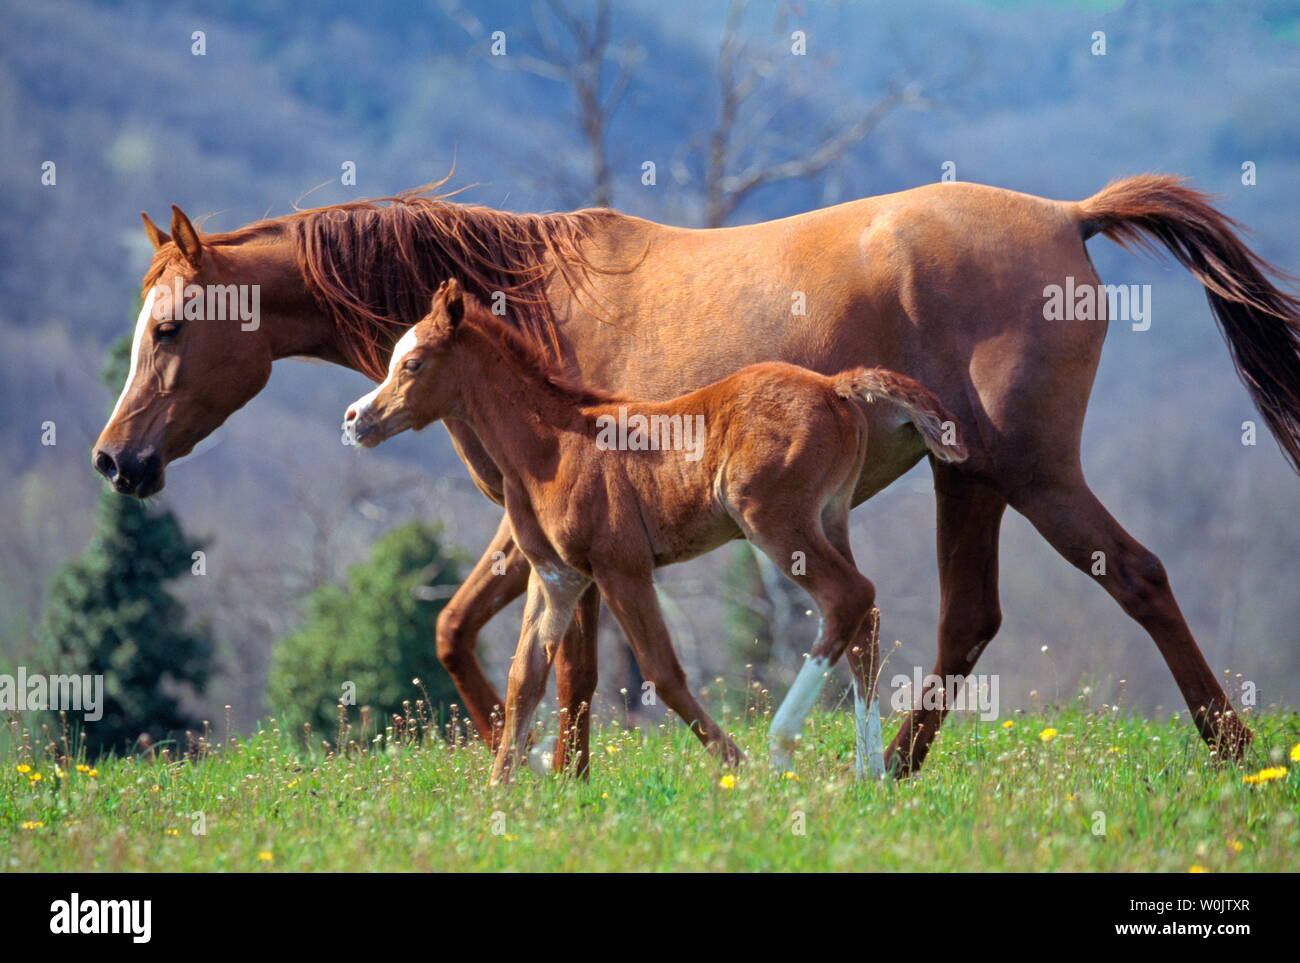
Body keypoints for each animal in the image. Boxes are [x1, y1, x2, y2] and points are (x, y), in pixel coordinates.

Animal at [342, 280, 967, 782]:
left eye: (413, 363)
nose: (356, 419)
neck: (552, 447)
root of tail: (837, 387)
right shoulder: (556, 577)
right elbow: (525, 679)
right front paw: (499, 793)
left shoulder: (621, 567)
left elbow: (662, 672)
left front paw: (739, 770)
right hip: (831, 517)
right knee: (867, 619)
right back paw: (869, 772)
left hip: (773, 519)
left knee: (848, 597)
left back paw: (782, 749)